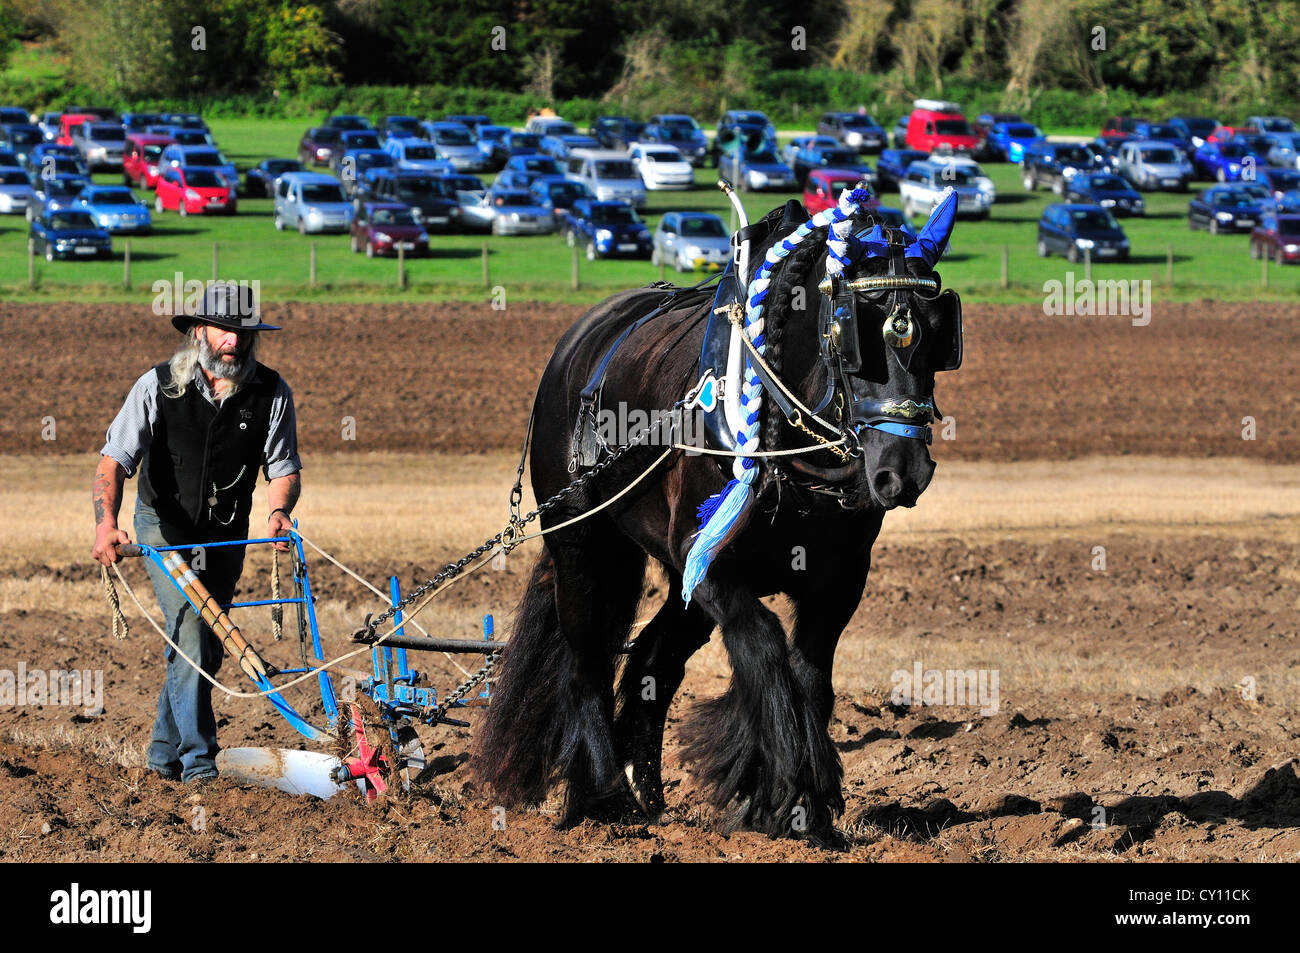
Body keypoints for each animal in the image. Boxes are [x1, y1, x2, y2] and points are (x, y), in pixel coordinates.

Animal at [473, 187, 963, 843]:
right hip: (581, 544)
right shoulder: (704, 558)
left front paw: (802, 806)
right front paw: (780, 787)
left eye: (939, 333)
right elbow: (764, 646)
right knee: (587, 664)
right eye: (854, 327)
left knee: (652, 662)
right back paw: (609, 801)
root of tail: (580, 341)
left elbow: (810, 673)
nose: (902, 470)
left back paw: (649, 795)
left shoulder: (838, 581)